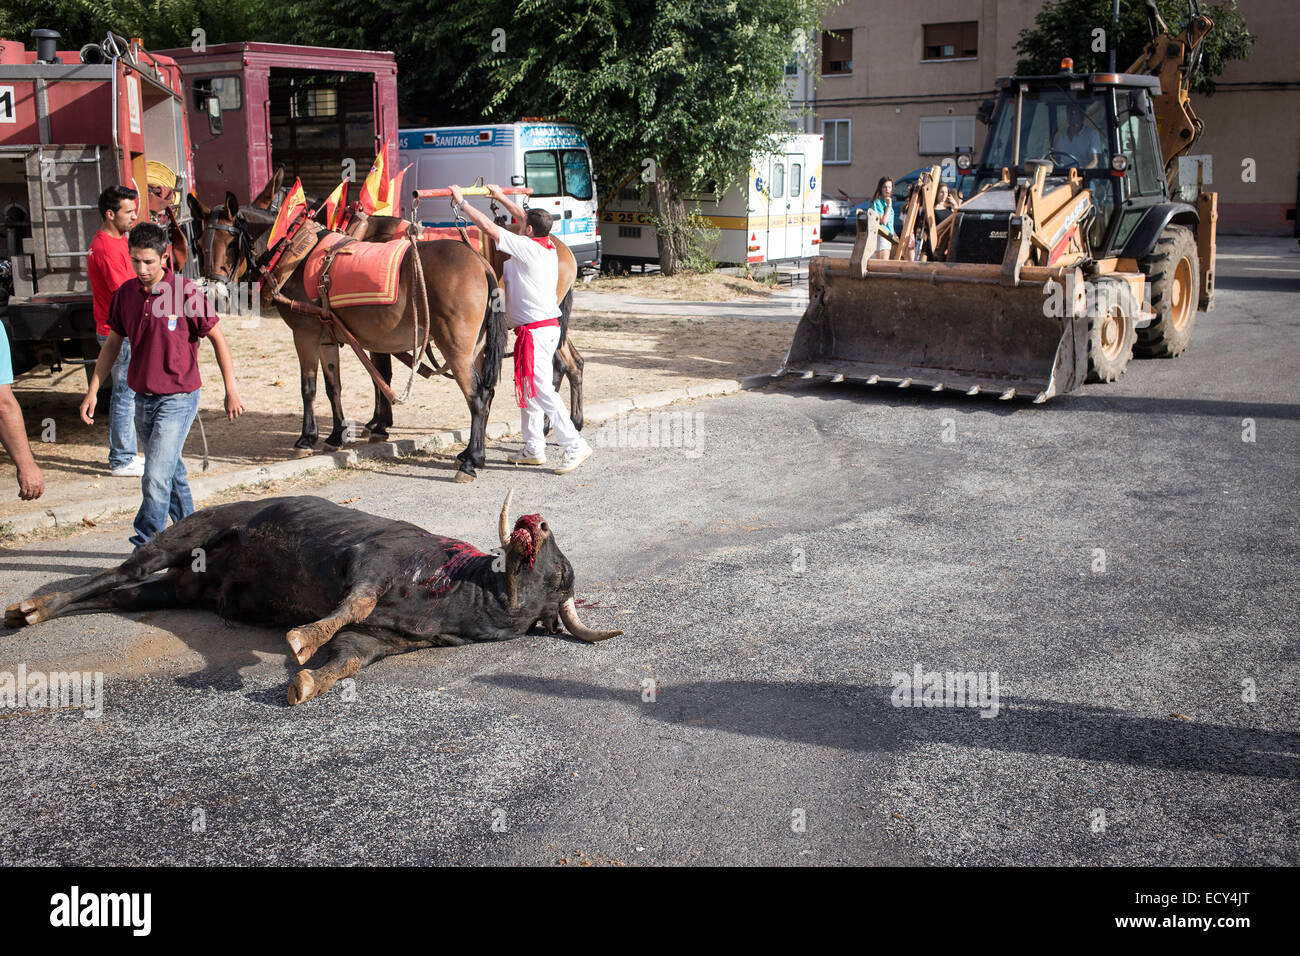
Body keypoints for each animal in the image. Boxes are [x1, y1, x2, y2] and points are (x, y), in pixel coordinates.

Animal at [4, 493, 622, 705]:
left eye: (562, 575)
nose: (536, 520)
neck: (458, 592)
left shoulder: (377, 641)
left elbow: (346, 656)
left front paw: (304, 682)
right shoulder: (373, 563)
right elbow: (354, 604)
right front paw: (301, 639)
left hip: (181, 584)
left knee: (124, 595)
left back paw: (35, 610)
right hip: (190, 533)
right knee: (117, 572)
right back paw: (32, 607)